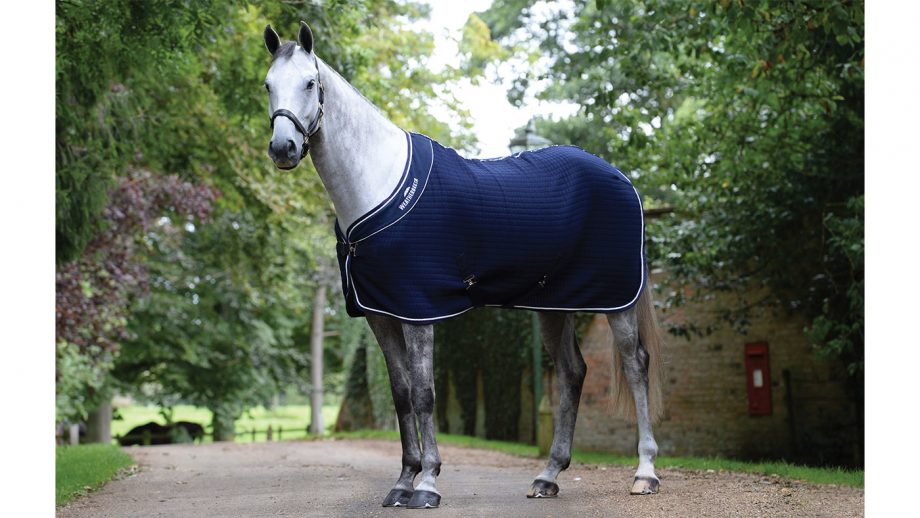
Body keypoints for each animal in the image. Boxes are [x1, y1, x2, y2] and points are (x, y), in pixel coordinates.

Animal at [262, 22, 663, 509]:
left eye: (309, 83)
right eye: (268, 85)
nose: (283, 148)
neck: (378, 183)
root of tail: (623, 180)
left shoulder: (417, 311)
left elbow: (424, 394)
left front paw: (428, 484)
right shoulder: (380, 314)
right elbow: (400, 395)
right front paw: (403, 482)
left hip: (616, 300)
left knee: (635, 365)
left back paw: (645, 473)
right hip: (554, 306)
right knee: (572, 372)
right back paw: (548, 476)